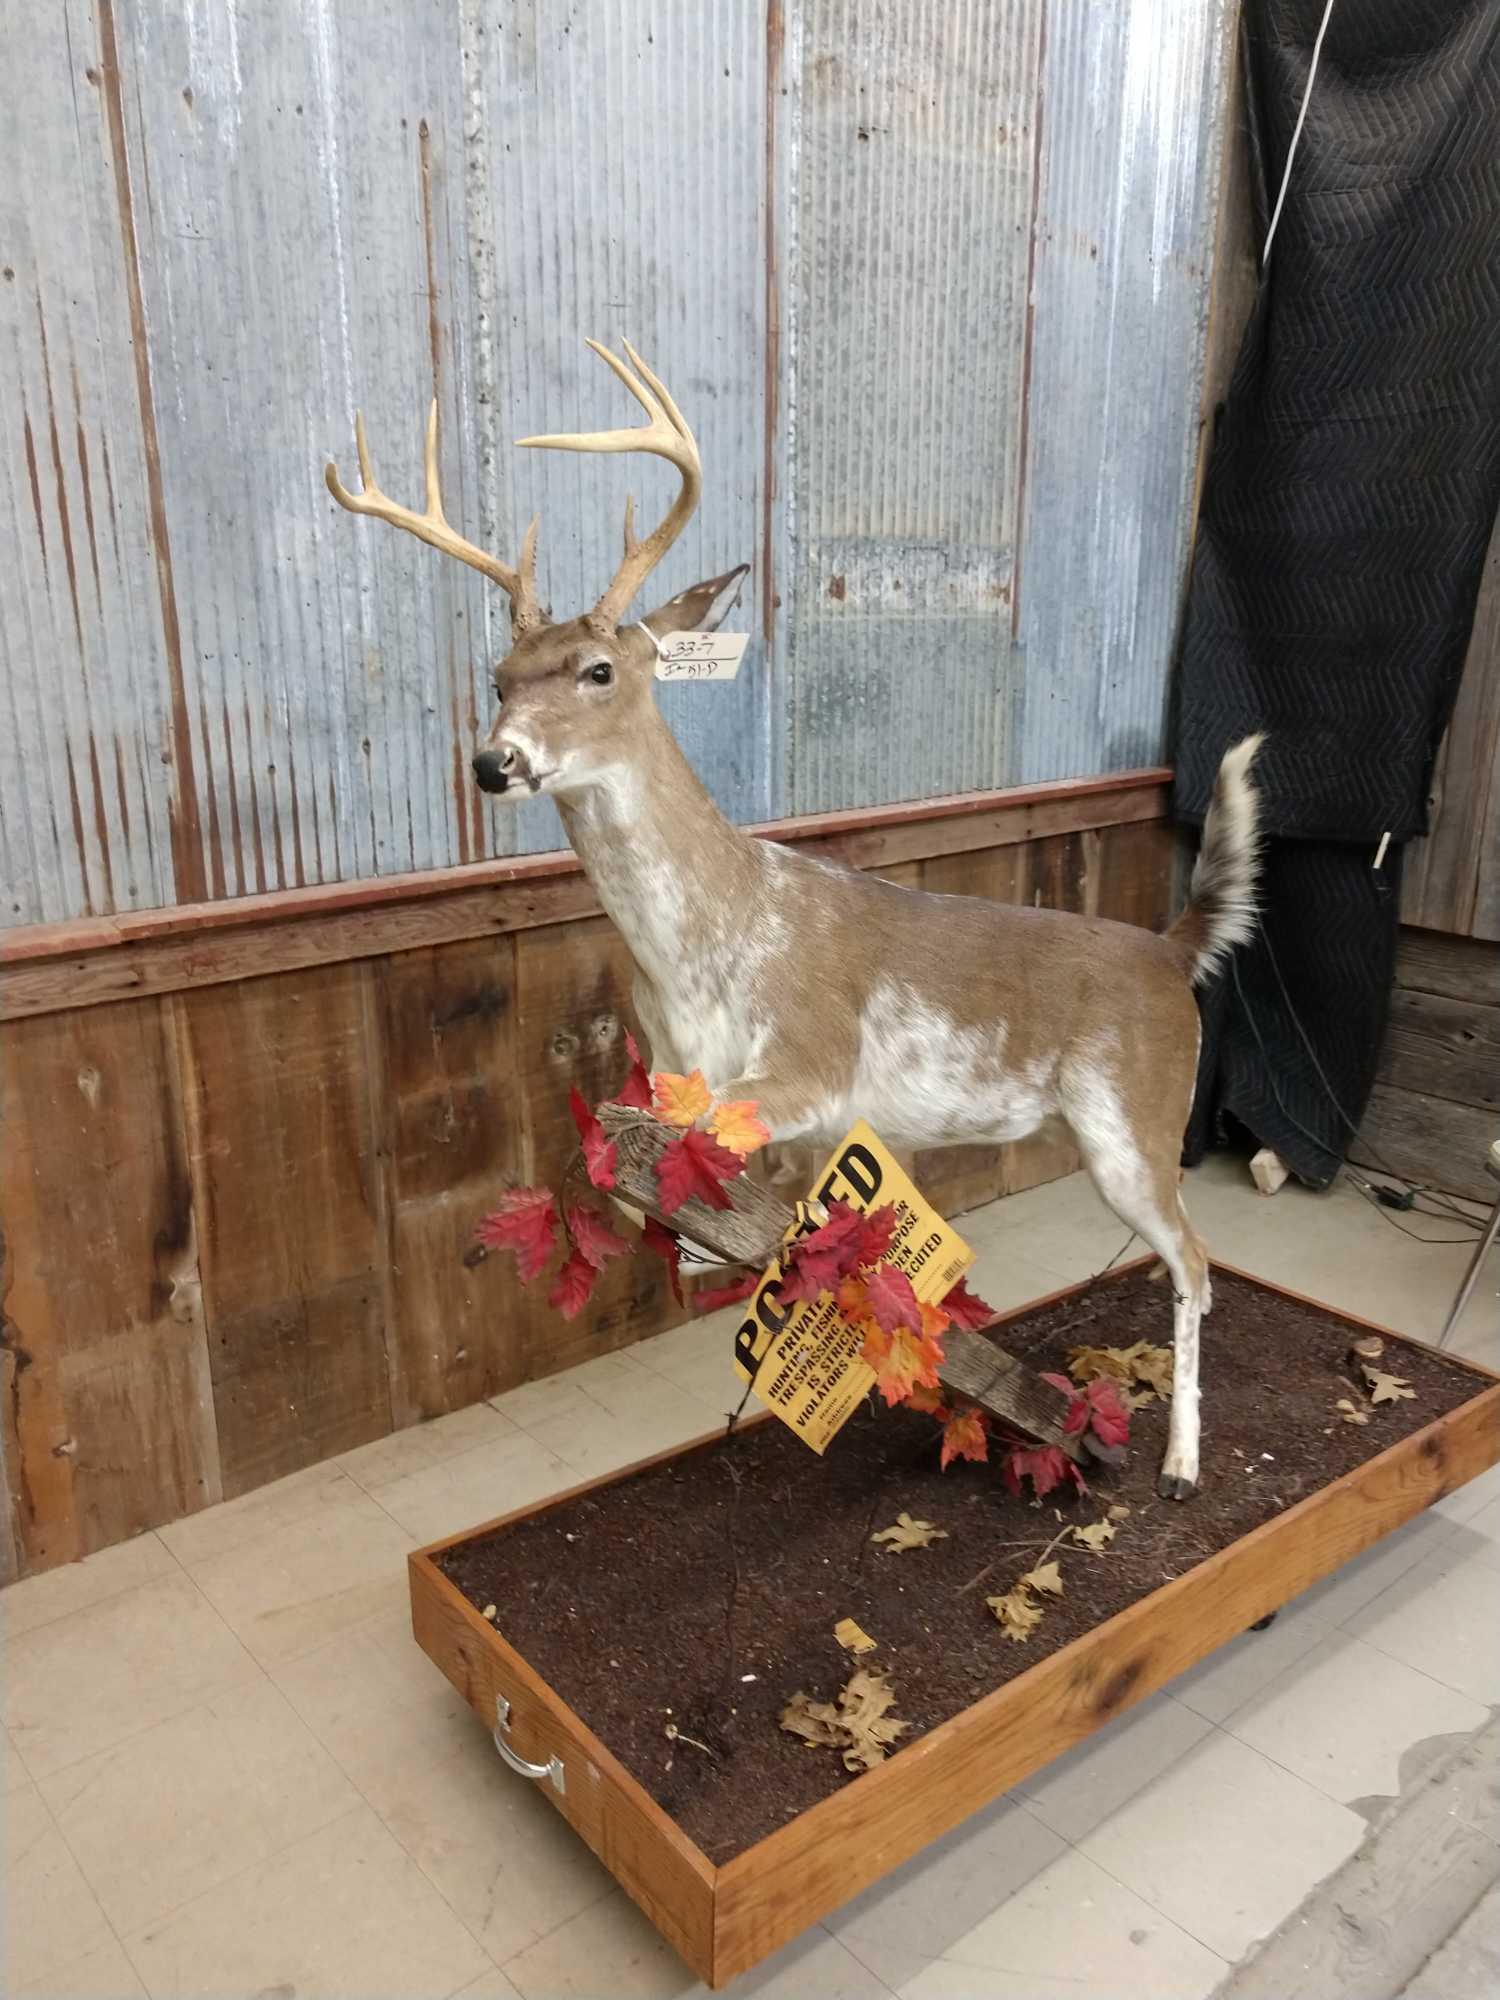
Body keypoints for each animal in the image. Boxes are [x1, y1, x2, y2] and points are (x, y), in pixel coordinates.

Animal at [326, 341, 1263, 1500]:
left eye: (598, 668)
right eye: (498, 677)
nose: (493, 761)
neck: (707, 948)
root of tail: (1173, 951)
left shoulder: (812, 1064)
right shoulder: (677, 1074)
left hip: (1138, 1113)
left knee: (1199, 1260)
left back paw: (1180, 1461)